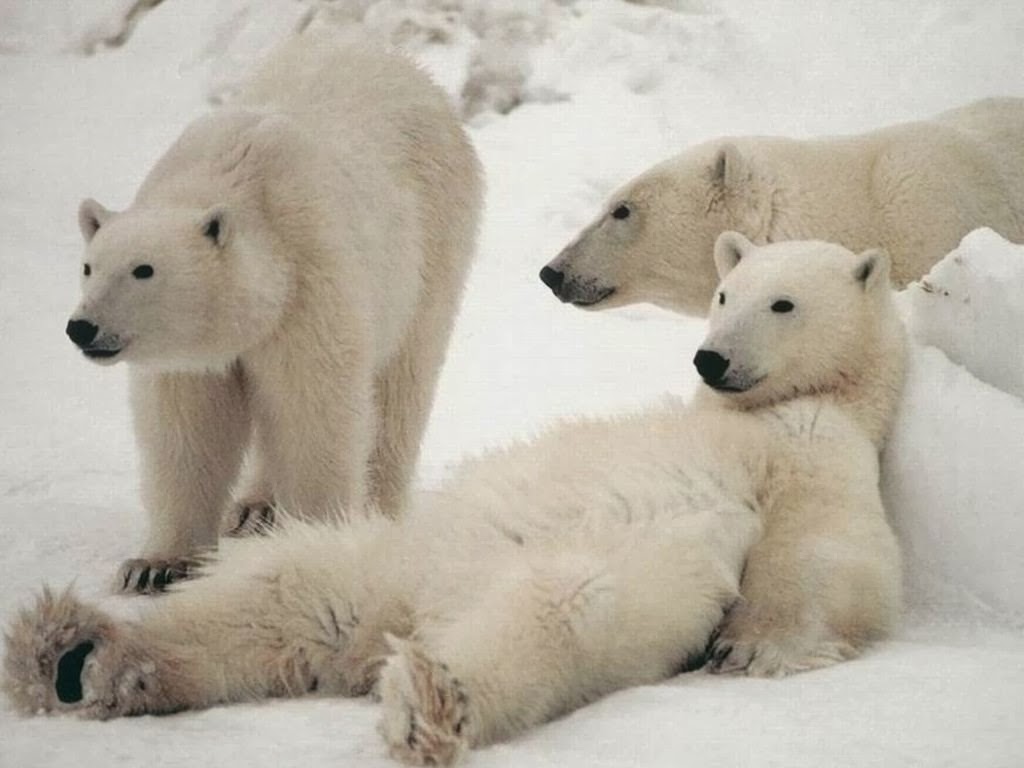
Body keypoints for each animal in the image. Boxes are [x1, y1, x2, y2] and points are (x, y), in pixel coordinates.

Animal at [5, 234, 905, 765]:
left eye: (783, 302)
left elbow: (835, 551)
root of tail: (401, 618)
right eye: (725, 294)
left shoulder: (821, 446)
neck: (759, 411)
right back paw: (75, 654)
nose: (711, 359)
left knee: (554, 612)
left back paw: (427, 699)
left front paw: (753, 648)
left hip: (575, 578)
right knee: (275, 593)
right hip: (381, 554)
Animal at [63, 33, 483, 592]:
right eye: (89, 266)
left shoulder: (309, 282)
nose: (82, 327)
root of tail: (409, 69)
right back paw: (253, 506)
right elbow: (186, 429)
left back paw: (376, 506)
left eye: (143, 270)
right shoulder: (195, 356)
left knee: (402, 383)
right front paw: (153, 566)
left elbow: (313, 407)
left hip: (431, 241)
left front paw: (318, 541)